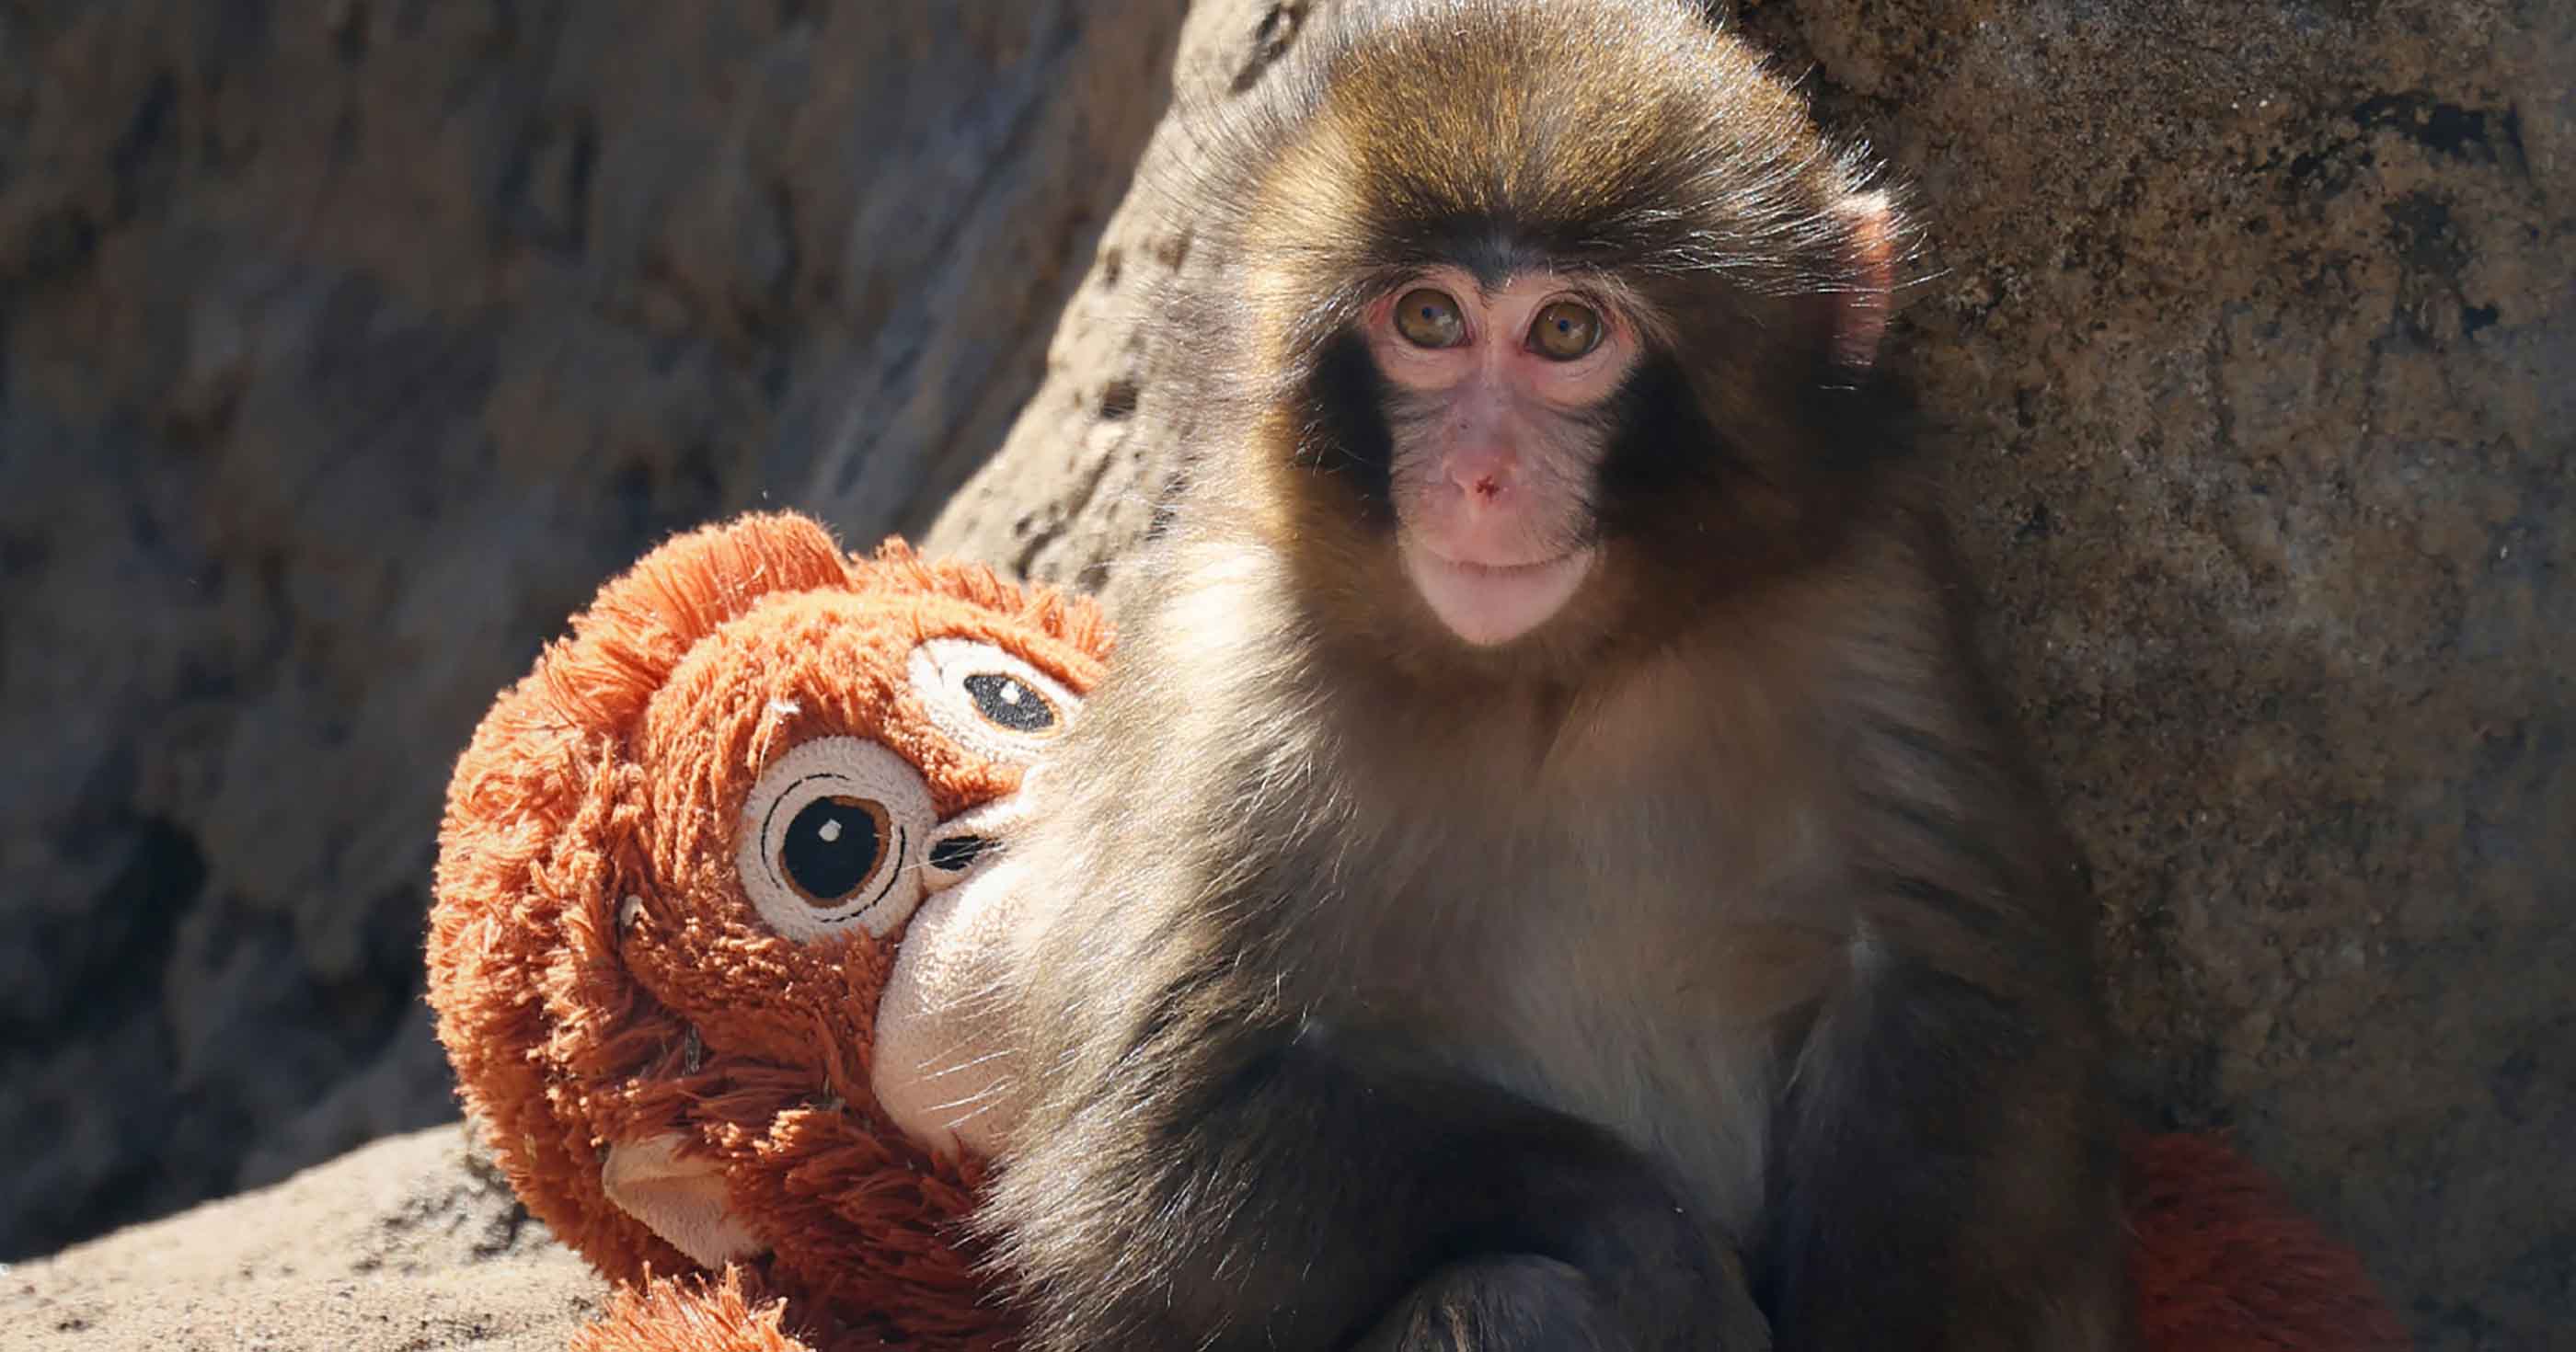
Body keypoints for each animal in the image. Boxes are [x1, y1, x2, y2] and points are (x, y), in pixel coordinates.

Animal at [967, 1, 2132, 1349]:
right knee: (1507, 1294)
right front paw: (1657, 1249)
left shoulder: (1867, 602)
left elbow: (1956, 997)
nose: (1479, 474)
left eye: (1566, 332)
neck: (1554, 681)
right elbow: (1158, 1152)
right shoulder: (1231, 681)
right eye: (1428, 321)